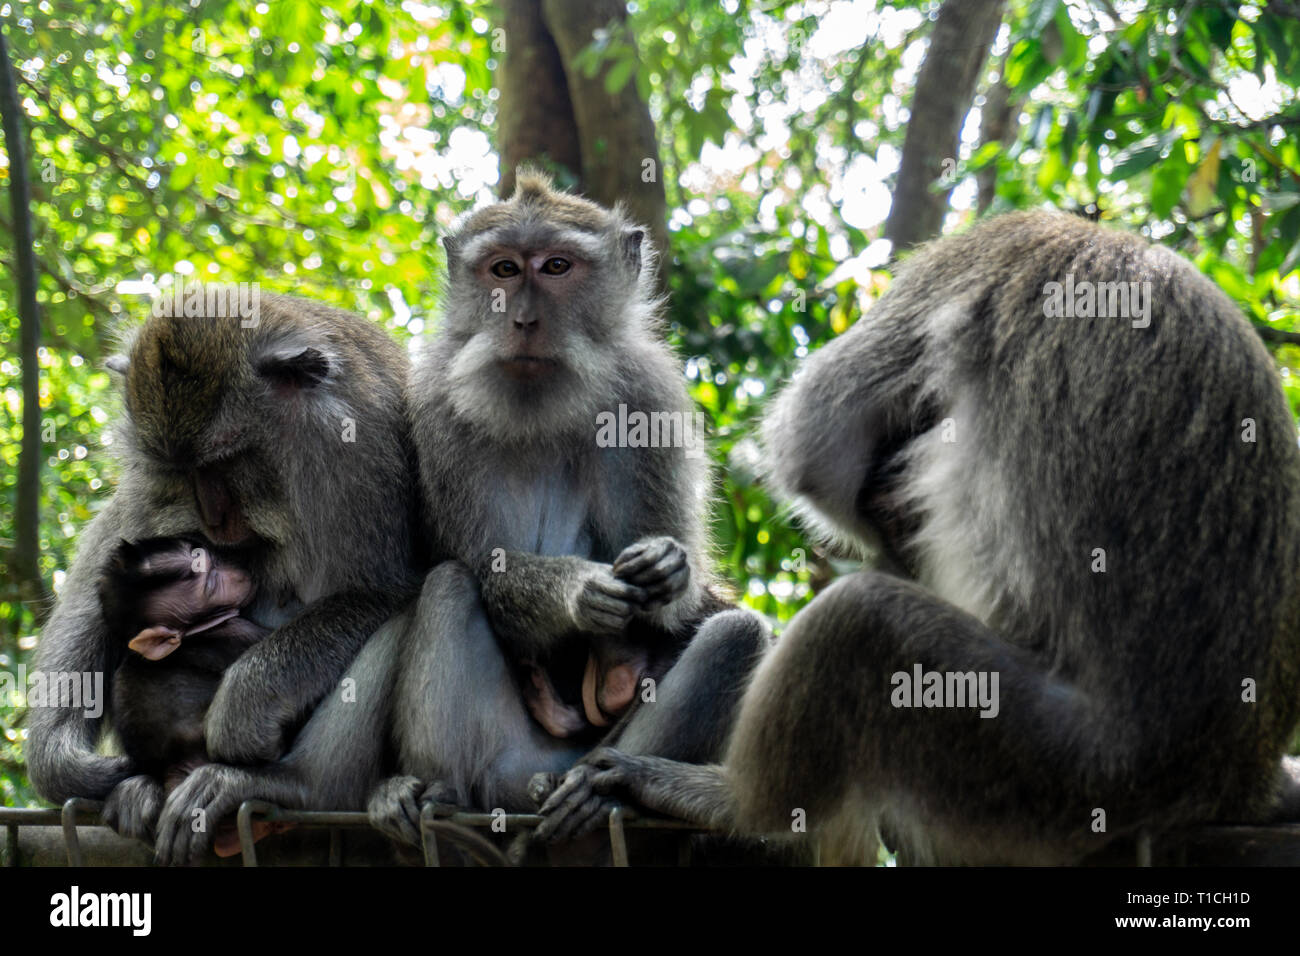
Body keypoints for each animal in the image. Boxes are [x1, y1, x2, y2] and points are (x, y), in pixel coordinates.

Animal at [27, 292, 420, 848]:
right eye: (179, 471)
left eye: (227, 460)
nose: (214, 521)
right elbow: (105, 576)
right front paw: (62, 762)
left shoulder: (363, 457)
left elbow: (383, 590)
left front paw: (244, 705)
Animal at [534, 210, 1300, 864]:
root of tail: (1223, 778)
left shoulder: (970, 257)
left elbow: (815, 445)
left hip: (1056, 772)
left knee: (860, 621)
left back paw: (729, 802)